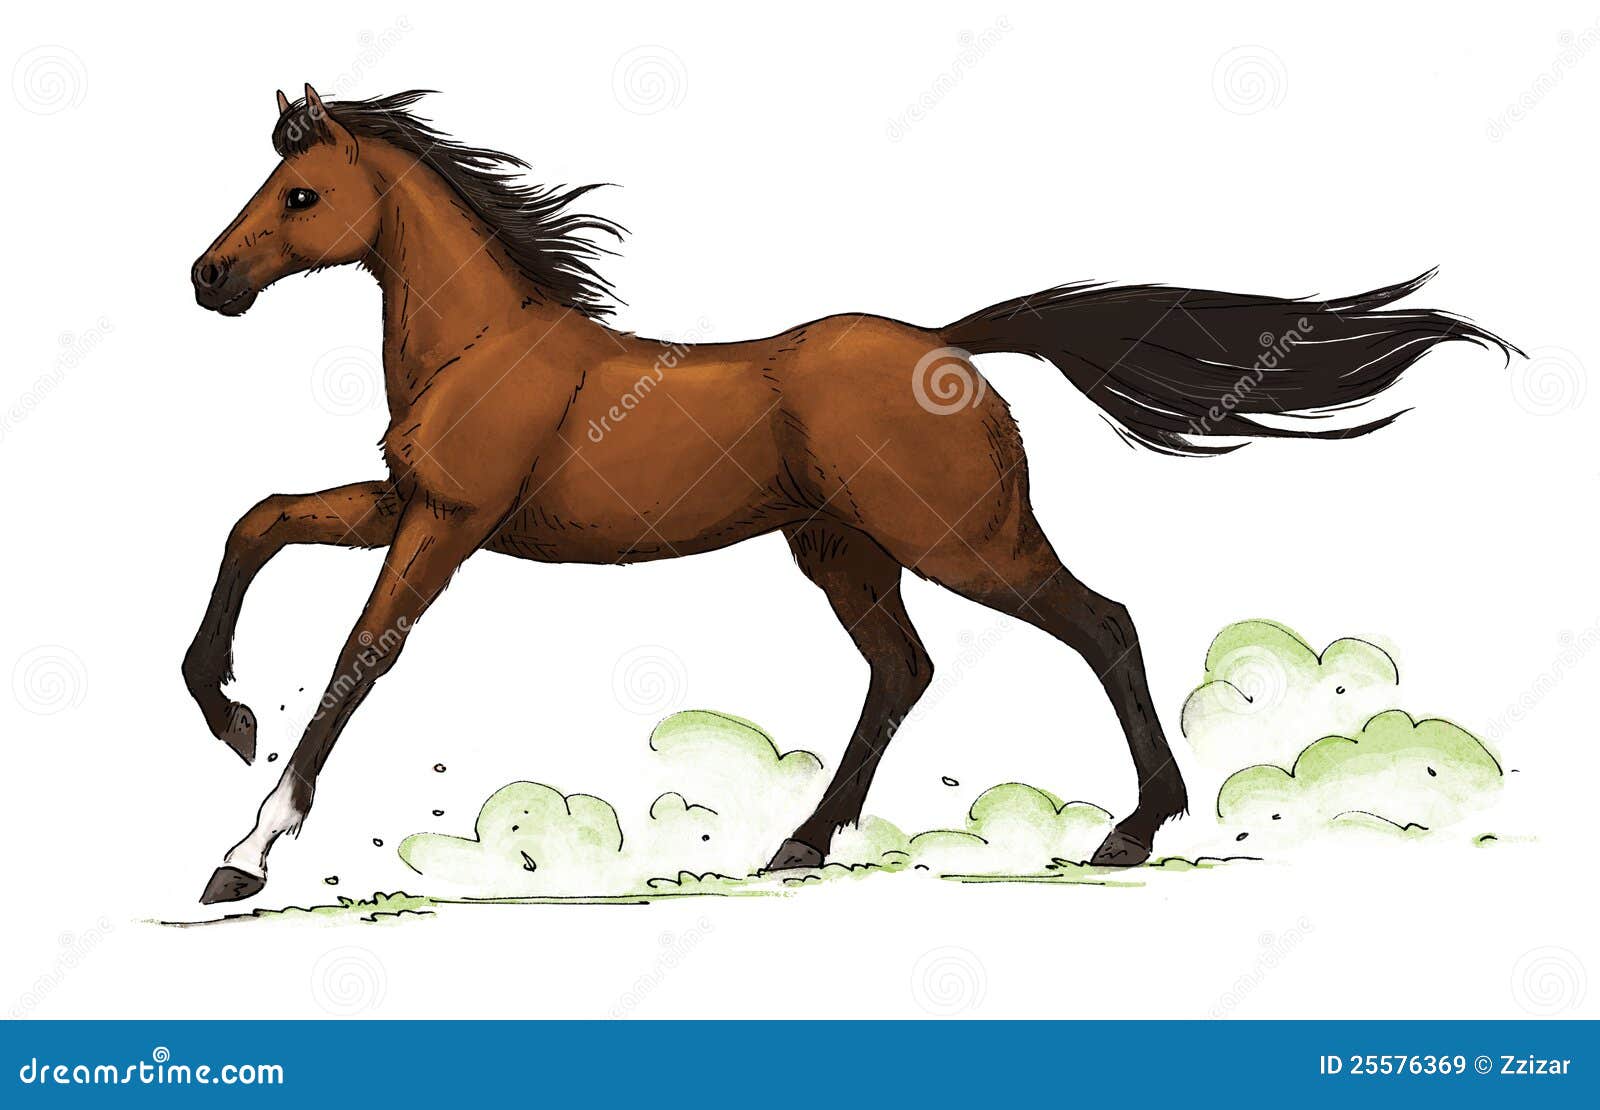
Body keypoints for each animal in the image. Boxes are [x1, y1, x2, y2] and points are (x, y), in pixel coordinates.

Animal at [185, 85, 1516, 904]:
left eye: (301, 196)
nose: (209, 277)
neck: (483, 345)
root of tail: (947, 346)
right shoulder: (404, 504)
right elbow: (259, 522)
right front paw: (227, 712)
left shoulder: (451, 524)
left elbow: (360, 657)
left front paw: (246, 852)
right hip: (843, 549)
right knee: (902, 670)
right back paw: (798, 842)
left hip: (961, 539)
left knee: (1101, 624)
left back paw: (1131, 833)